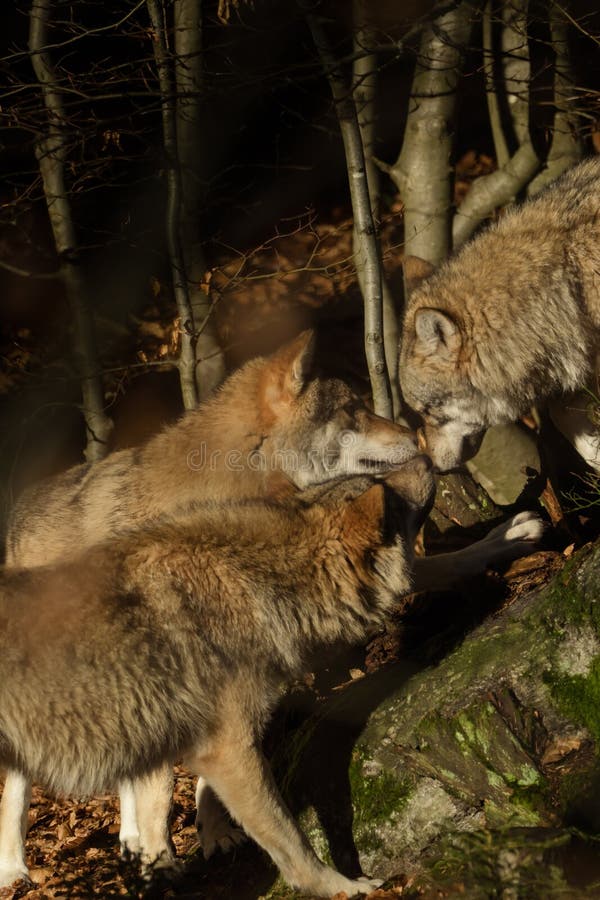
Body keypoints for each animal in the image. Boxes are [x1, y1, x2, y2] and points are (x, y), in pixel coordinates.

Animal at [0, 457, 438, 896]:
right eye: (384, 488)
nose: (425, 460)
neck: (257, 583)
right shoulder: (227, 747)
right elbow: (291, 842)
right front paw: (342, 887)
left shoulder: (194, 741)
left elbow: (176, 801)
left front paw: (184, 852)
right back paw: (14, 873)